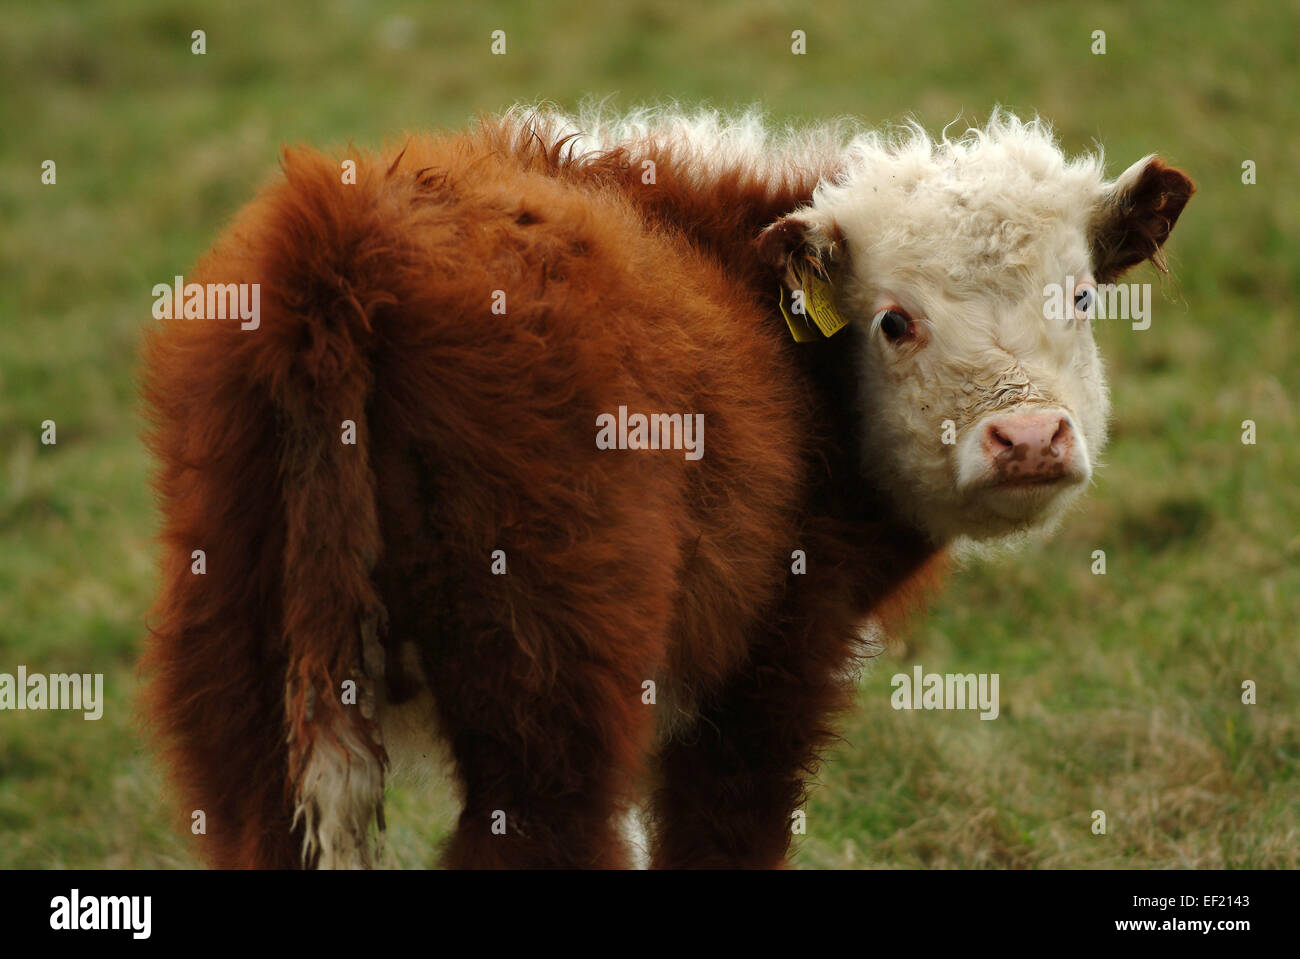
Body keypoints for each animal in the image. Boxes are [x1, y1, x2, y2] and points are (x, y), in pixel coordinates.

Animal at [139, 105, 1192, 868]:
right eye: (895, 321)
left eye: (1081, 296)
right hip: (547, 707)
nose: (1029, 438)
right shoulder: (768, 674)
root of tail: (342, 252)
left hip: (238, 677)